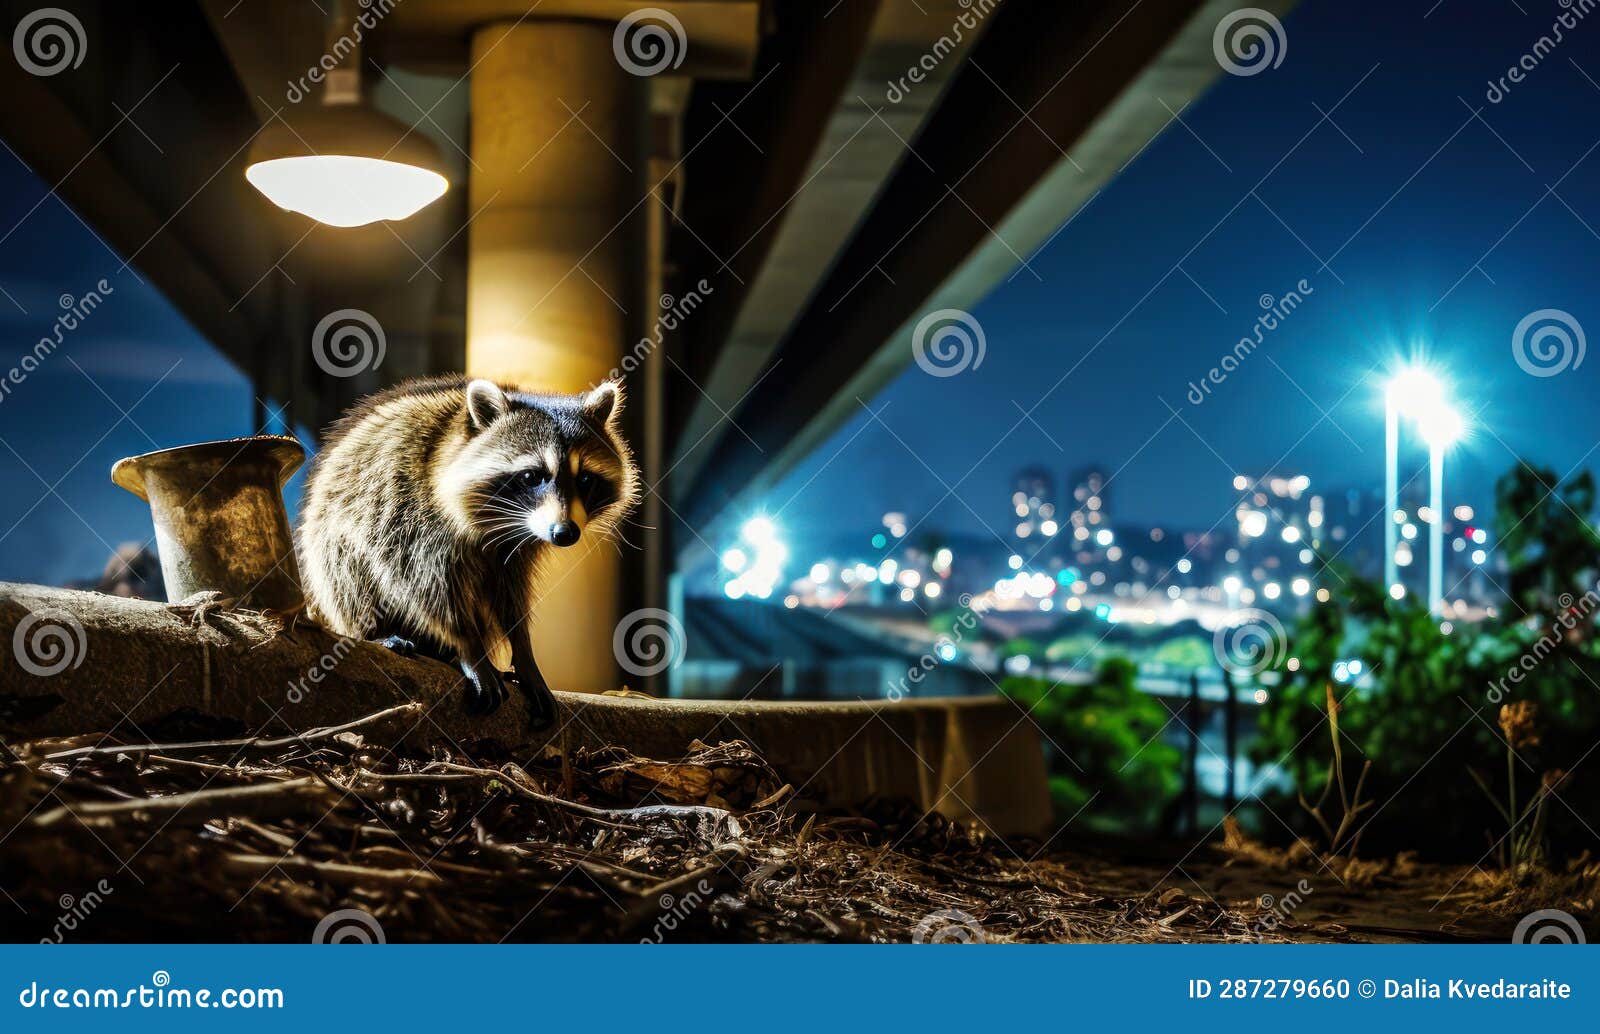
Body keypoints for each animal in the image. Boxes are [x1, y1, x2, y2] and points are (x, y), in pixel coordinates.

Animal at [297, 375, 640, 727]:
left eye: (584, 478)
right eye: (531, 476)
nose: (565, 533)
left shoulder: (518, 548)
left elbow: (511, 594)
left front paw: (523, 651)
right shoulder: (413, 514)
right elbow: (425, 585)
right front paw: (468, 645)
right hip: (334, 533)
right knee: (346, 566)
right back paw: (380, 632)